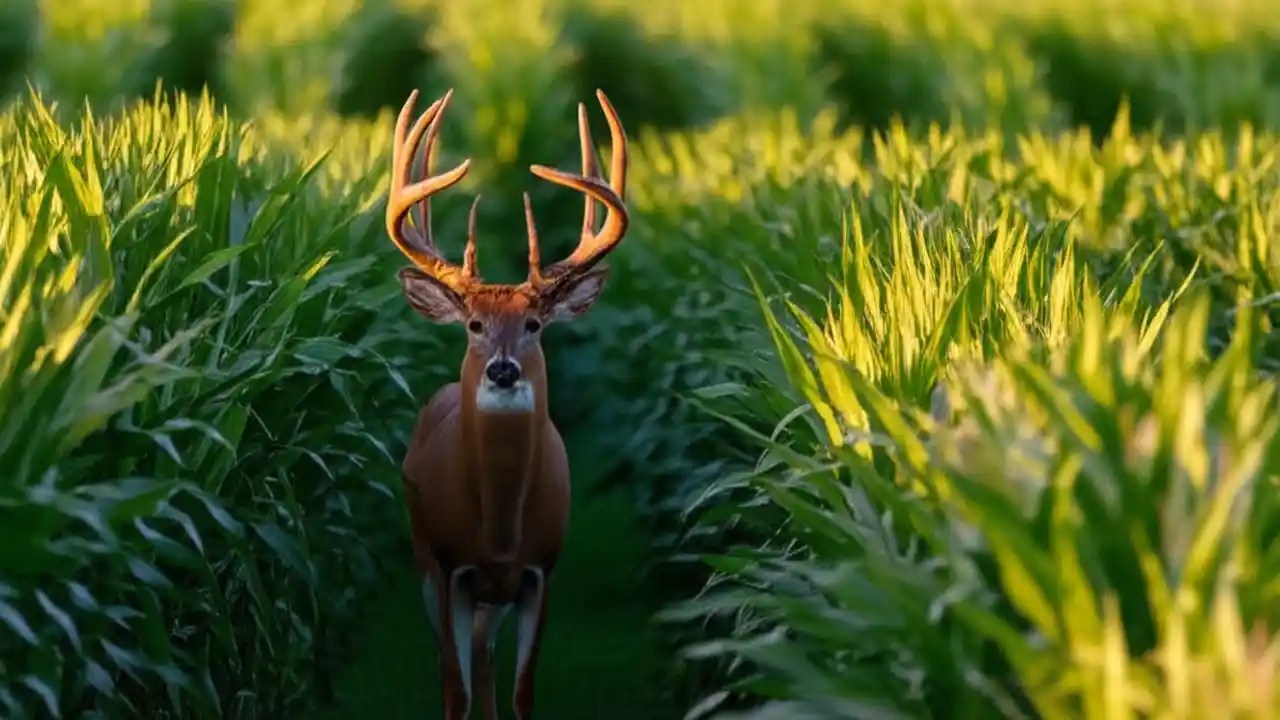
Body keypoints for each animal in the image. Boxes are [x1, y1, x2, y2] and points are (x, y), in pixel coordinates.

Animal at [382, 86, 629, 720]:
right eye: (473, 324)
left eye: (535, 324)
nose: (501, 369)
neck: (497, 534)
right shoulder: (448, 567)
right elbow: (453, 687)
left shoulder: (541, 572)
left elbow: (523, 691)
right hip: (422, 554)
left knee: (486, 653)